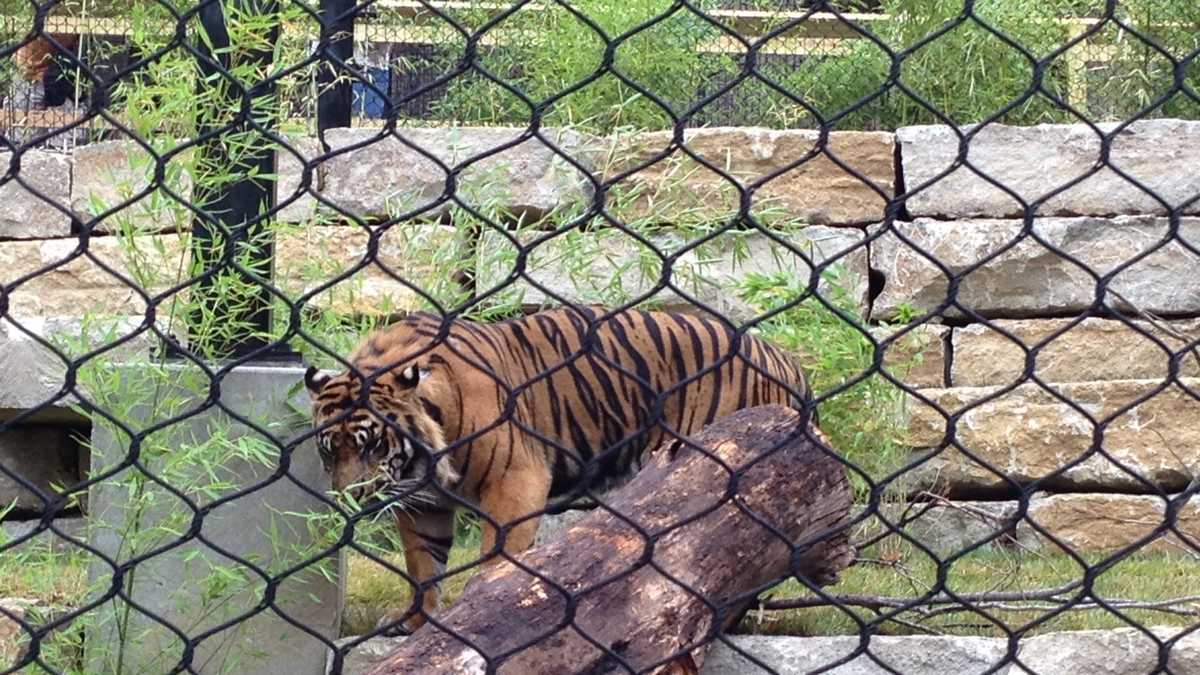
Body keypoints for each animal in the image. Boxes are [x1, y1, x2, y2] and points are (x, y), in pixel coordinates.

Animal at [304, 305, 815, 636]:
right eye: (329, 453)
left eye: (372, 446)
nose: (349, 499)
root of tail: (786, 361)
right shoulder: (423, 503)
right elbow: (422, 565)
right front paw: (415, 621)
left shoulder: (515, 480)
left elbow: (498, 555)